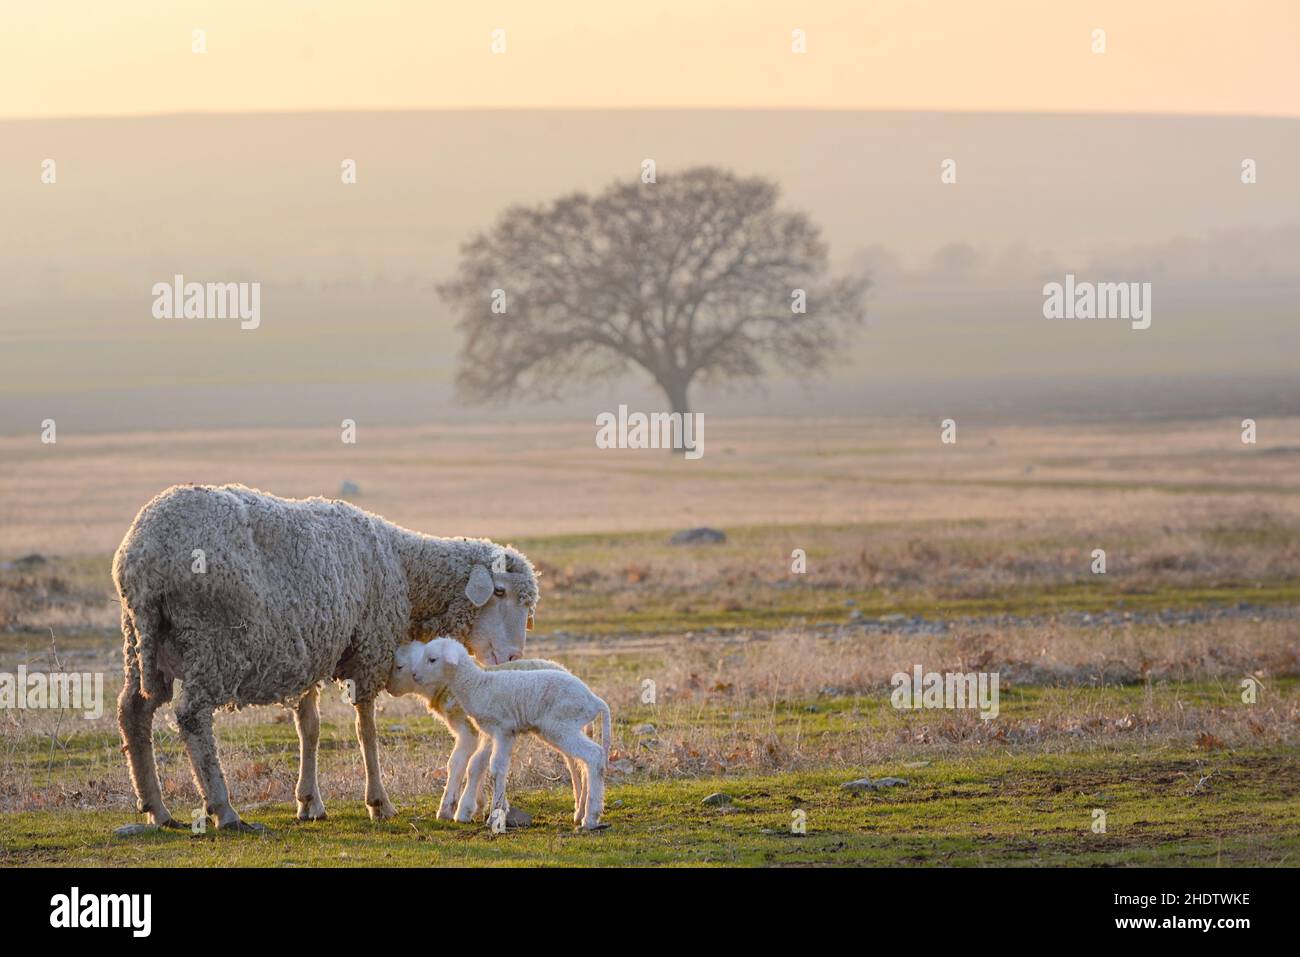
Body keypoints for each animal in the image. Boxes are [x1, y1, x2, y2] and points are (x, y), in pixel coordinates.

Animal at [113, 484, 538, 832]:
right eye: (500, 592)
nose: (513, 654)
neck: (404, 568)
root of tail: (144, 556)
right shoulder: (369, 649)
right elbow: (366, 729)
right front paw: (378, 802)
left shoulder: (312, 649)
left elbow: (310, 728)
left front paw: (309, 802)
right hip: (213, 641)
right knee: (192, 716)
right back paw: (224, 810)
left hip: (144, 642)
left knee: (133, 710)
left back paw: (157, 810)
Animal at [402, 637, 611, 830]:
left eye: (432, 659)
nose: (415, 675)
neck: (477, 685)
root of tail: (595, 700)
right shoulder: (503, 733)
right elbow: (494, 767)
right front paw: (496, 809)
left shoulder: (502, 728)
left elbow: (495, 768)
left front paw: (494, 815)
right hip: (563, 728)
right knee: (584, 761)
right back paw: (586, 812)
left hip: (562, 725)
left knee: (594, 755)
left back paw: (590, 818)